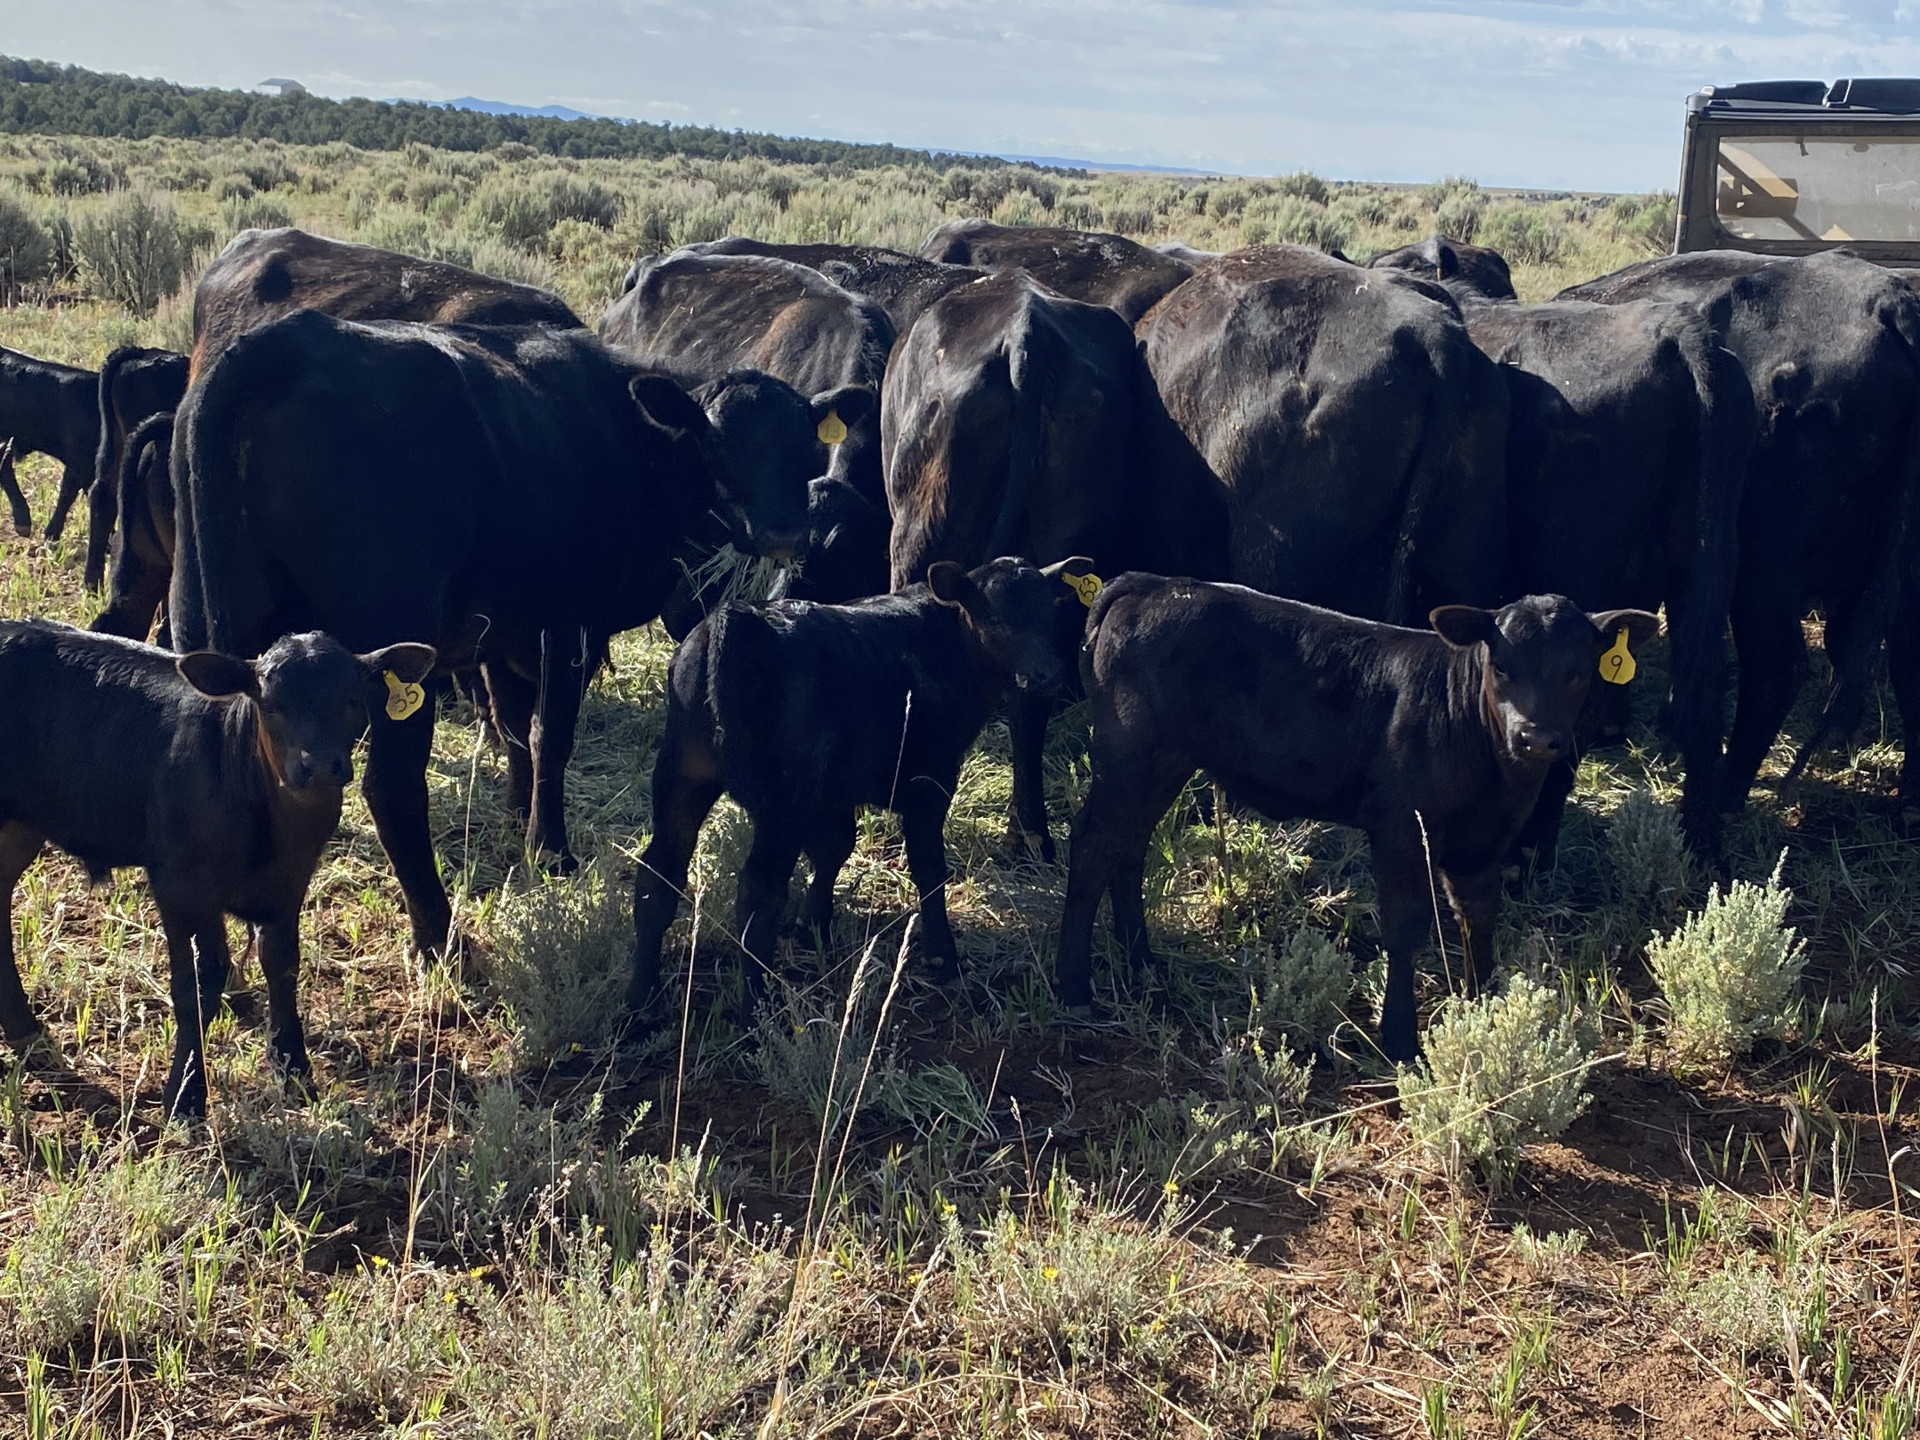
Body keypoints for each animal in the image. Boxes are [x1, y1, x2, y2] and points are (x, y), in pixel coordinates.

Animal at [0, 620, 436, 1117]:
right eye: (272, 704)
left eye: (351, 697)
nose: (320, 767)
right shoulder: (179, 883)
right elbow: (197, 981)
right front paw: (185, 1094)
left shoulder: (290, 881)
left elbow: (281, 964)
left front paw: (295, 1070)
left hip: (19, 826)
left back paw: (25, 1032)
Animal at [167, 310, 810, 961]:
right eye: (718, 446)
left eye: (808, 449)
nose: (785, 531)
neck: (626, 438)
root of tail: (277, 343)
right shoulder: (569, 623)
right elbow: (550, 736)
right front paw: (551, 852)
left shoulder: (502, 633)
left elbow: (514, 729)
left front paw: (517, 826)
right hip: (392, 653)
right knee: (392, 787)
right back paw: (439, 938)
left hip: (203, 628)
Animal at [629, 556, 1094, 1015]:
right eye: (996, 618)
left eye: (1050, 616)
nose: (1047, 675)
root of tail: (736, 618)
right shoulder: (931, 780)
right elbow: (928, 867)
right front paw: (943, 958)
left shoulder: (835, 794)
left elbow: (835, 847)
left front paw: (813, 926)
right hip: (780, 804)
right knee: (758, 892)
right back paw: (754, 1008)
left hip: (682, 775)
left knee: (657, 875)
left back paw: (642, 1004)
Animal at [1055, 577, 1658, 1061]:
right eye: (1501, 666)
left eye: (1579, 672)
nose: (1535, 738)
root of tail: (1151, 583)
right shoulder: (1399, 827)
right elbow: (1407, 927)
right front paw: (1400, 1040)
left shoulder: (1484, 843)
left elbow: (1480, 920)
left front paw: (1483, 1015)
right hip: (1131, 755)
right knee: (1092, 844)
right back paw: (1075, 988)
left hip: (1163, 763)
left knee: (1129, 848)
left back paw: (1142, 964)